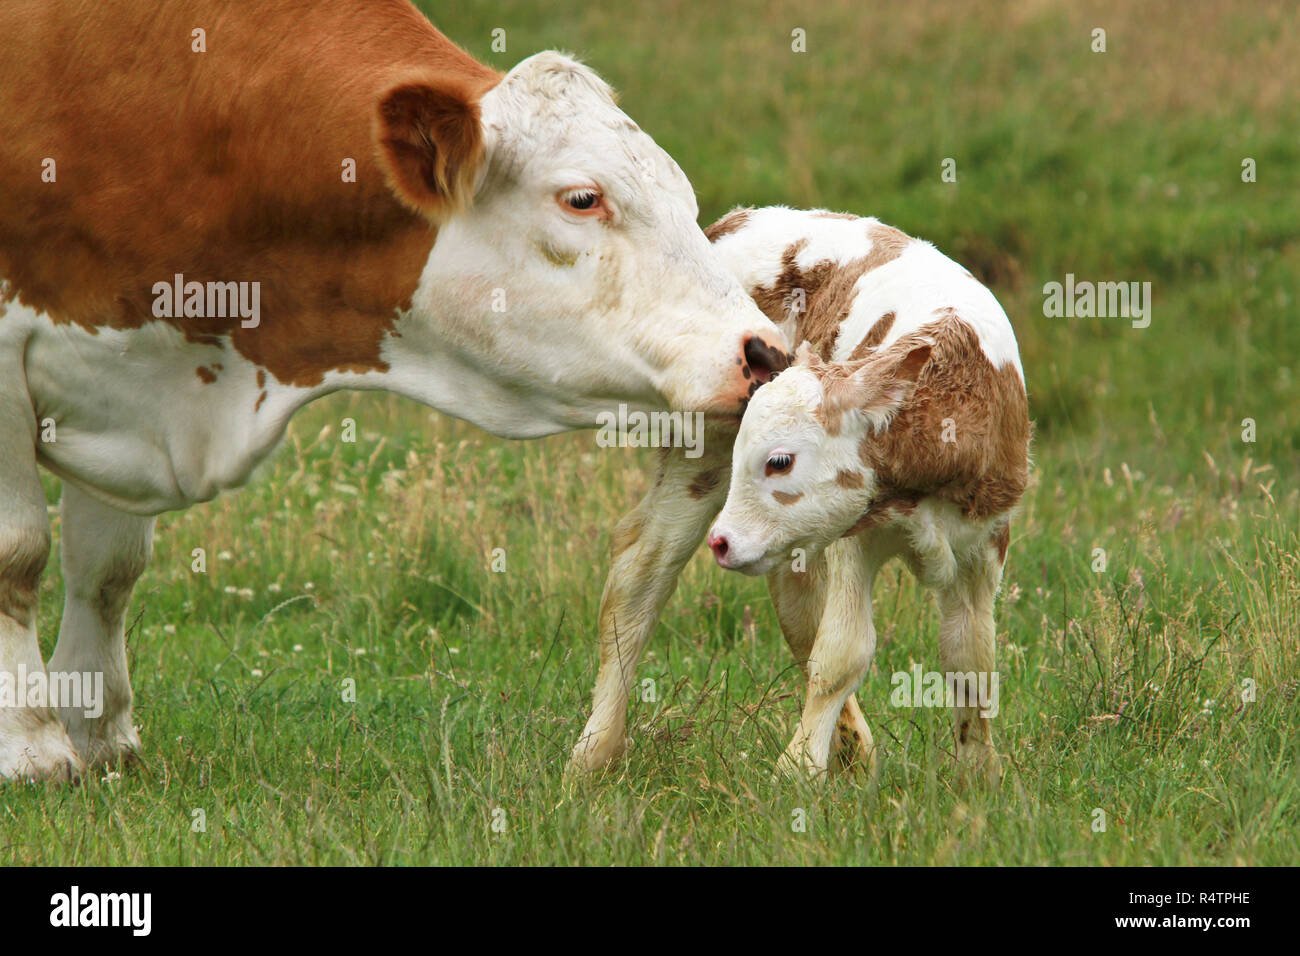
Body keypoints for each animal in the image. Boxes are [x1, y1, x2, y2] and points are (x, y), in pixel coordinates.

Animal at [0, 0, 789, 782]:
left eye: (683, 198)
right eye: (582, 198)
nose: (766, 351)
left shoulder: (128, 392)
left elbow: (108, 568)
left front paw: (98, 734)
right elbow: (20, 551)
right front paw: (34, 746)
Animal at [571, 207, 1028, 784]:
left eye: (779, 461)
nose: (721, 543)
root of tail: (734, 220)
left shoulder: (985, 544)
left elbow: (971, 658)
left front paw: (979, 778)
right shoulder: (856, 536)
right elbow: (842, 652)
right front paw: (795, 772)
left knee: (797, 604)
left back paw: (855, 755)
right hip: (698, 452)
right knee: (642, 570)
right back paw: (593, 753)